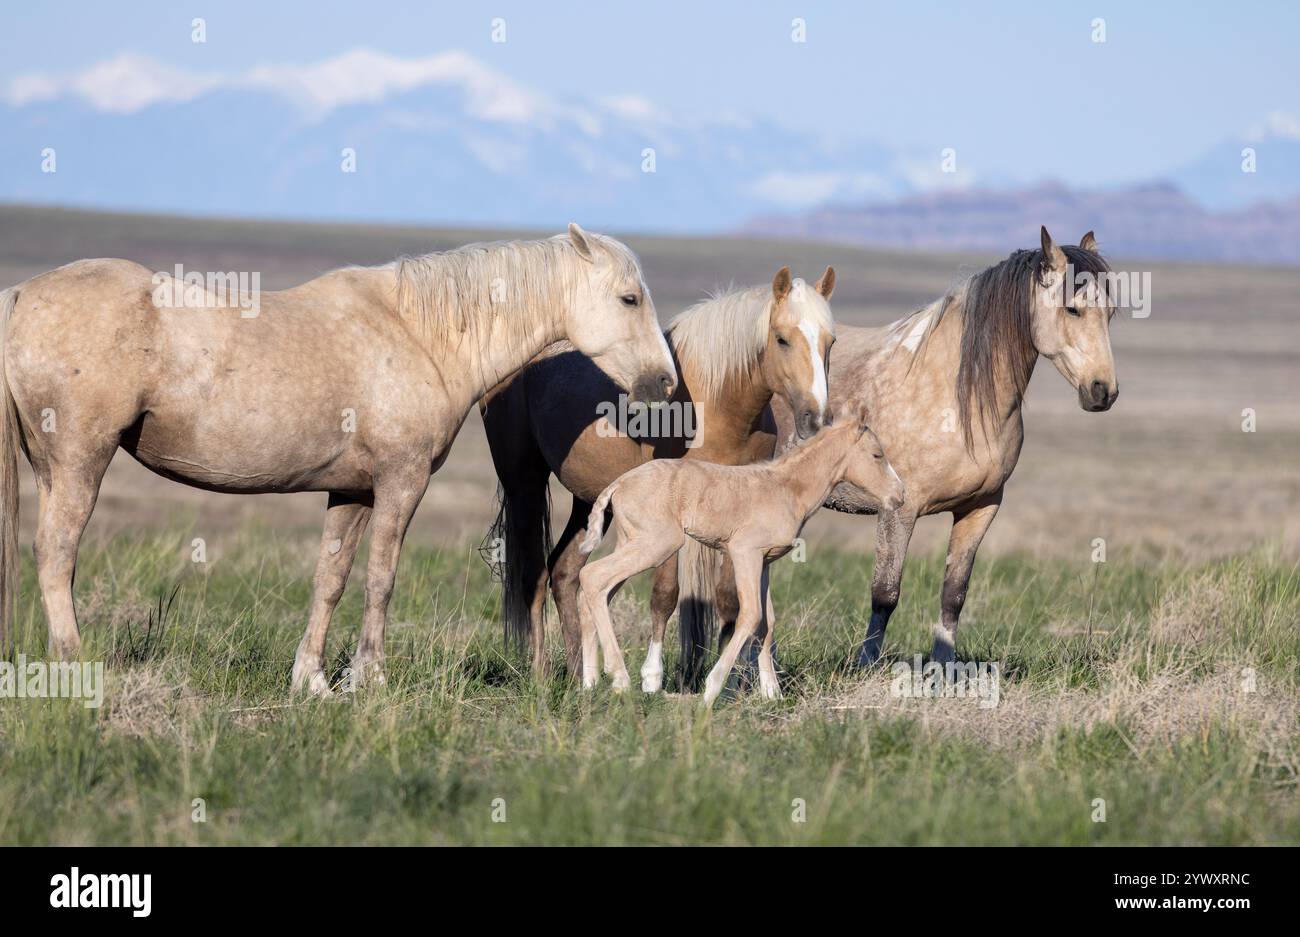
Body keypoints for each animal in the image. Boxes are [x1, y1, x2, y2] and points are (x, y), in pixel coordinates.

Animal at [0, 224, 678, 694]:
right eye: (628, 299)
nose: (665, 385)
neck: (417, 333)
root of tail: (22, 293)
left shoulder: (352, 492)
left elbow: (330, 580)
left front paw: (314, 680)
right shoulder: (401, 483)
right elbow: (381, 579)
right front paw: (369, 679)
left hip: (52, 470)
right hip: (80, 464)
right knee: (56, 555)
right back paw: (73, 664)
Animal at [481, 265, 836, 685]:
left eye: (831, 342)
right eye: (782, 339)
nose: (816, 419)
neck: (715, 402)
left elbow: (730, 600)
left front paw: (730, 681)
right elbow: (665, 593)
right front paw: (652, 677)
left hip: (590, 501)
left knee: (565, 572)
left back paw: (578, 673)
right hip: (525, 485)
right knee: (533, 577)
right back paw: (541, 675)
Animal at [577, 402, 904, 705]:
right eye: (877, 455)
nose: (899, 496)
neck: (788, 488)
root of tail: (618, 484)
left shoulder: (765, 562)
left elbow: (767, 623)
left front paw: (772, 693)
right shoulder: (744, 552)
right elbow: (750, 615)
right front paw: (713, 688)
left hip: (631, 542)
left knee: (593, 590)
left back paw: (590, 683)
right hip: (655, 545)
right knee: (592, 576)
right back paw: (619, 679)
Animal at [767, 227, 1119, 669]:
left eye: (1111, 313)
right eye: (1072, 309)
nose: (1103, 391)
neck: (956, 396)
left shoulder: (981, 508)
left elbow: (954, 593)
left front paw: (944, 667)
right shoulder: (898, 511)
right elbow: (885, 594)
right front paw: (866, 665)